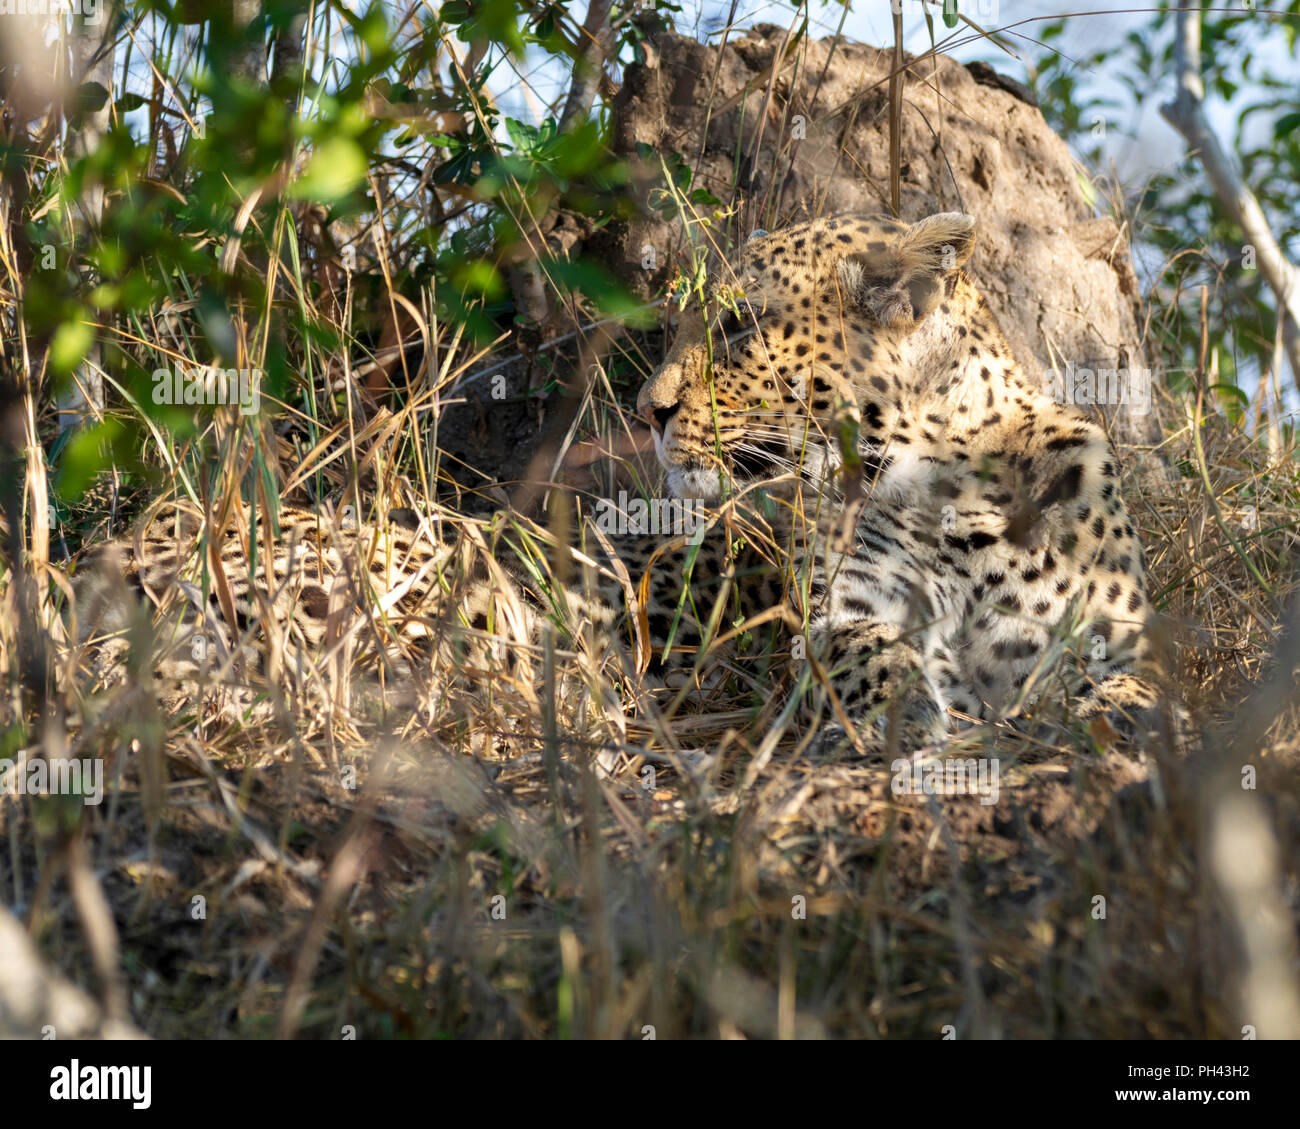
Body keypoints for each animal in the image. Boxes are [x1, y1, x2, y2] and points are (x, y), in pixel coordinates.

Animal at [69, 210, 1167, 755]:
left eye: (739, 326)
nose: (650, 410)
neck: (947, 482)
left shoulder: (1104, 632)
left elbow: (1129, 682)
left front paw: (1115, 715)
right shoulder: (827, 624)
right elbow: (870, 653)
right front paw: (914, 707)